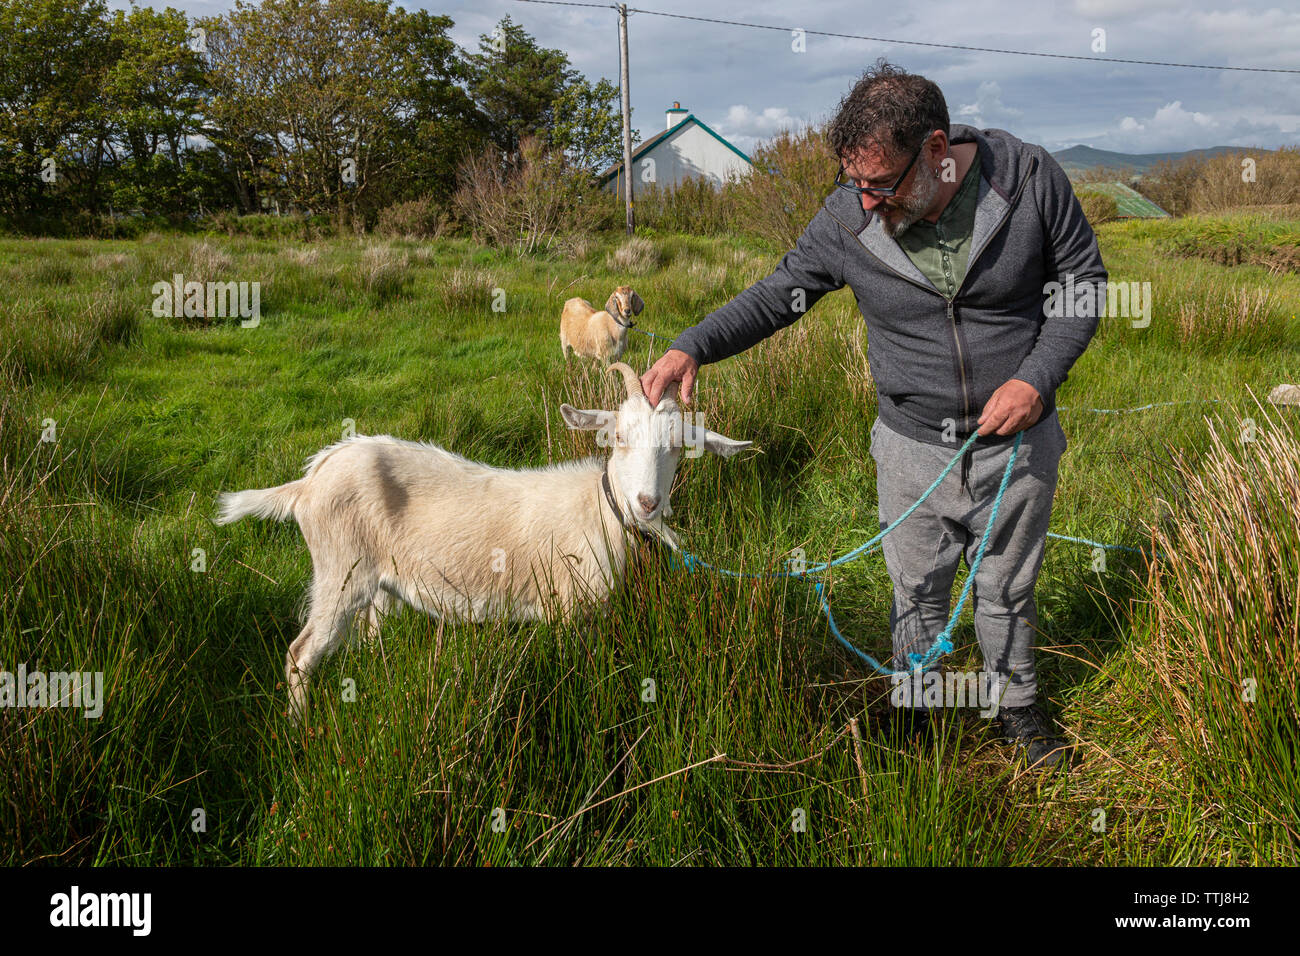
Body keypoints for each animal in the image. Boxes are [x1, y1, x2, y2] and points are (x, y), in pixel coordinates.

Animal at [214, 363, 750, 718]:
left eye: (679, 447)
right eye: (617, 437)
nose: (648, 502)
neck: (600, 511)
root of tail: (307, 482)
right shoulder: (570, 609)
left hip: (376, 584)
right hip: (337, 572)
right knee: (300, 654)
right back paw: (300, 730)